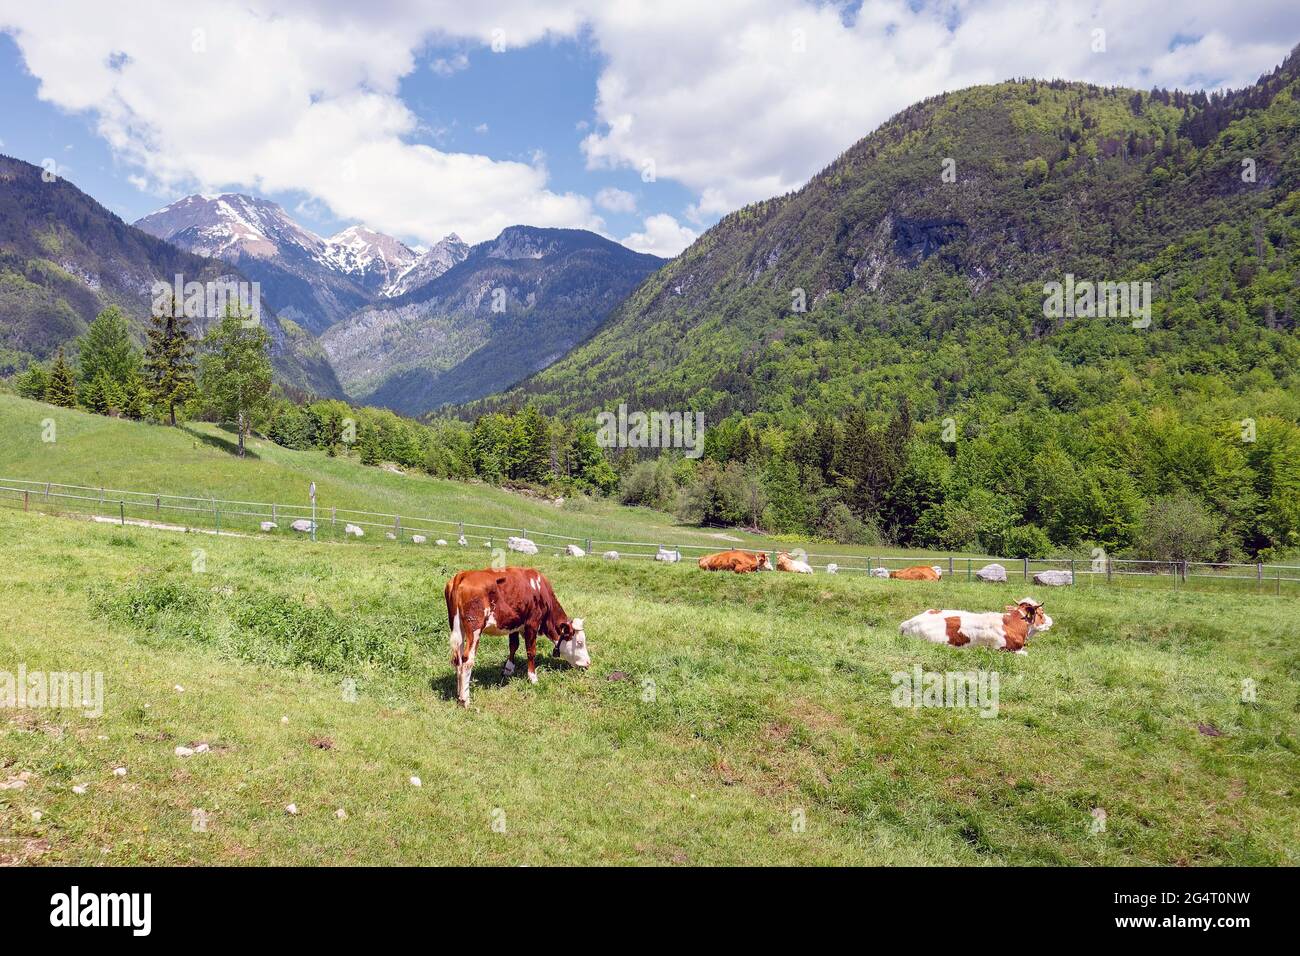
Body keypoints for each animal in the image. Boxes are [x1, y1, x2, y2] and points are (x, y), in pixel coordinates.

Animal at [444, 567, 589, 707]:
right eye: (580, 642)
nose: (588, 663)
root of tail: (462, 575)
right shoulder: (532, 623)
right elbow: (531, 651)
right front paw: (533, 677)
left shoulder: (514, 623)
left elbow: (513, 646)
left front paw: (508, 669)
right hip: (474, 628)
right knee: (467, 660)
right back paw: (465, 699)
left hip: (457, 627)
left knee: (458, 659)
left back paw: (459, 693)